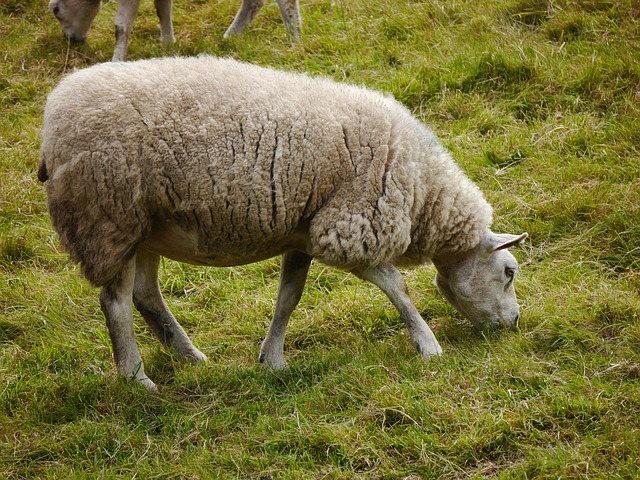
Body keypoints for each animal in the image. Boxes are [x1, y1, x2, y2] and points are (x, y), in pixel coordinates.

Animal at [38, 56, 528, 390]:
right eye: (509, 272)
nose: (516, 321)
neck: (424, 189)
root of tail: (52, 117)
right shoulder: (350, 224)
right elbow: (397, 288)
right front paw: (428, 345)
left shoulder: (304, 232)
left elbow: (288, 298)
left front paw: (272, 359)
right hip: (108, 218)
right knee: (116, 304)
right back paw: (137, 378)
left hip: (143, 229)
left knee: (145, 296)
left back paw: (191, 357)